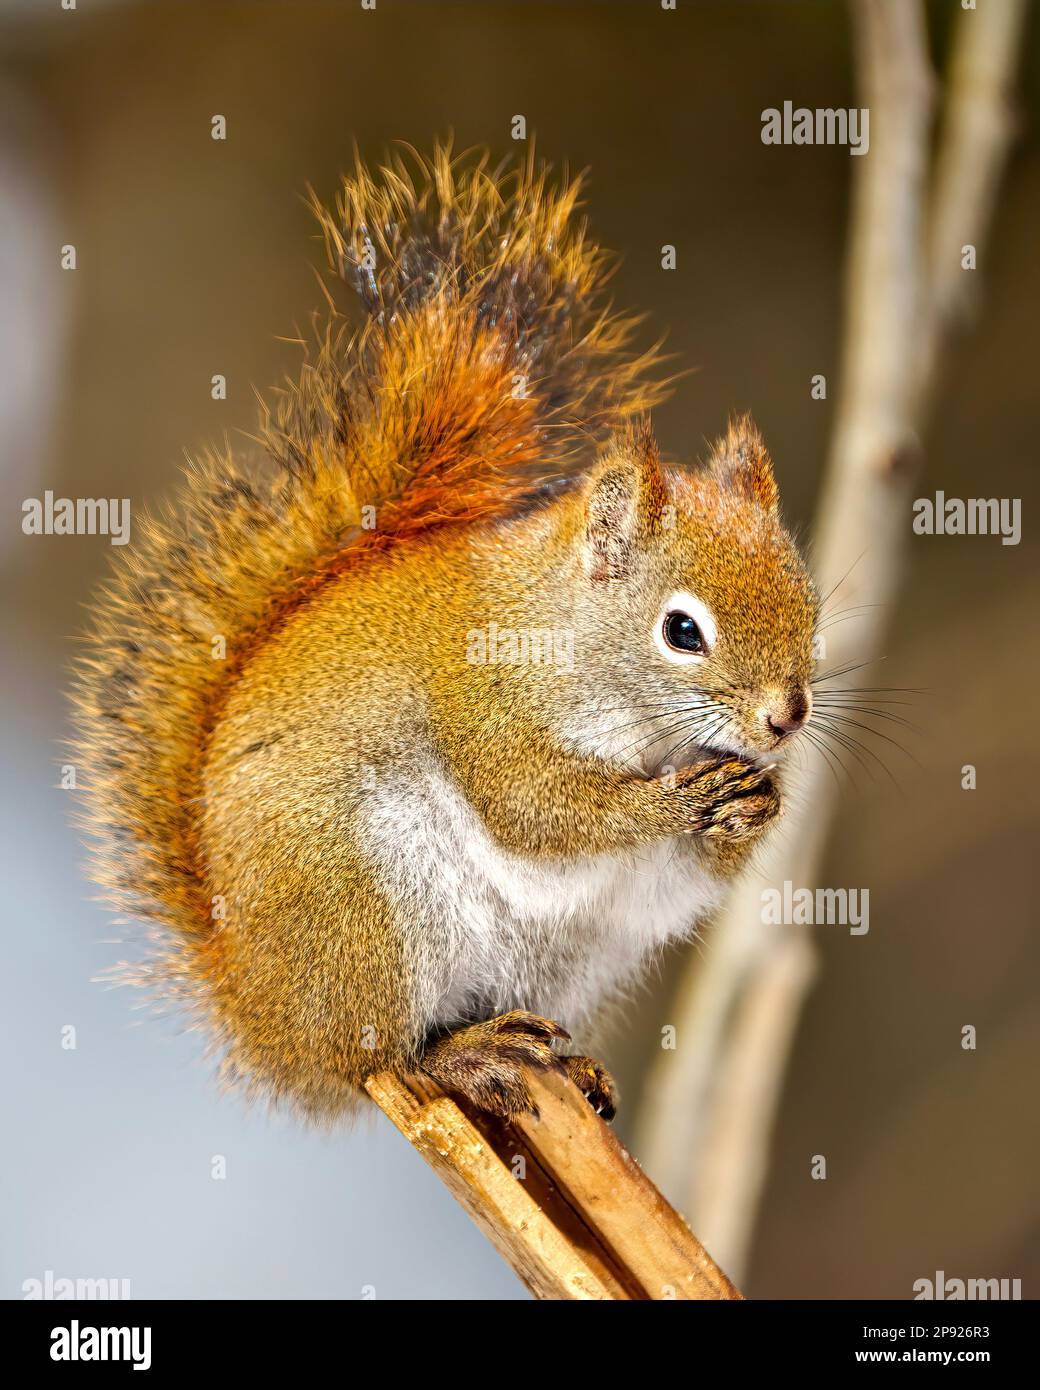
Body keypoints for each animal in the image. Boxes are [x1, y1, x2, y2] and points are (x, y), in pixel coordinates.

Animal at [72, 145, 818, 1124]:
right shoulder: (485, 703)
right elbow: (533, 805)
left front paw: (755, 805)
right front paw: (665, 803)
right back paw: (461, 1056)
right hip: (363, 910)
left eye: (810, 599)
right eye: (682, 630)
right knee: (380, 1059)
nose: (786, 718)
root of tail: (259, 1019)